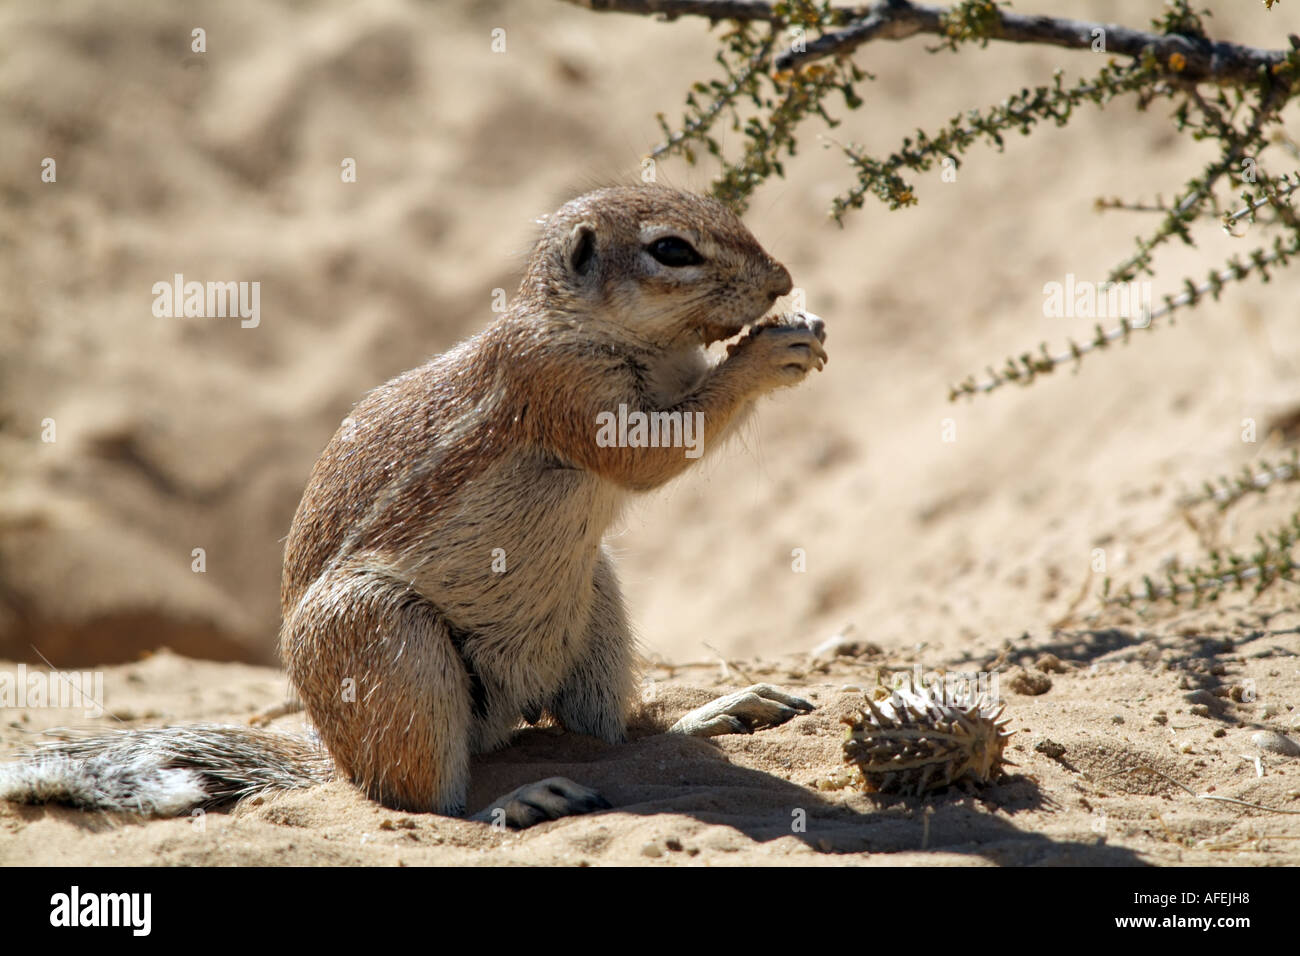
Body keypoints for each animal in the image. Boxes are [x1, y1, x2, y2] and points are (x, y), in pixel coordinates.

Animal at [0, 185, 827, 828]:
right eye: (672, 250)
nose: (783, 278)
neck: (591, 325)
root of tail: (337, 759)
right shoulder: (562, 385)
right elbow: (650, 454)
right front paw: (765, 354)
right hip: (389, 643)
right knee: (423, 798)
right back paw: (517, 801)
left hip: (592, 597)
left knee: (608, 733)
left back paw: (715, 712)